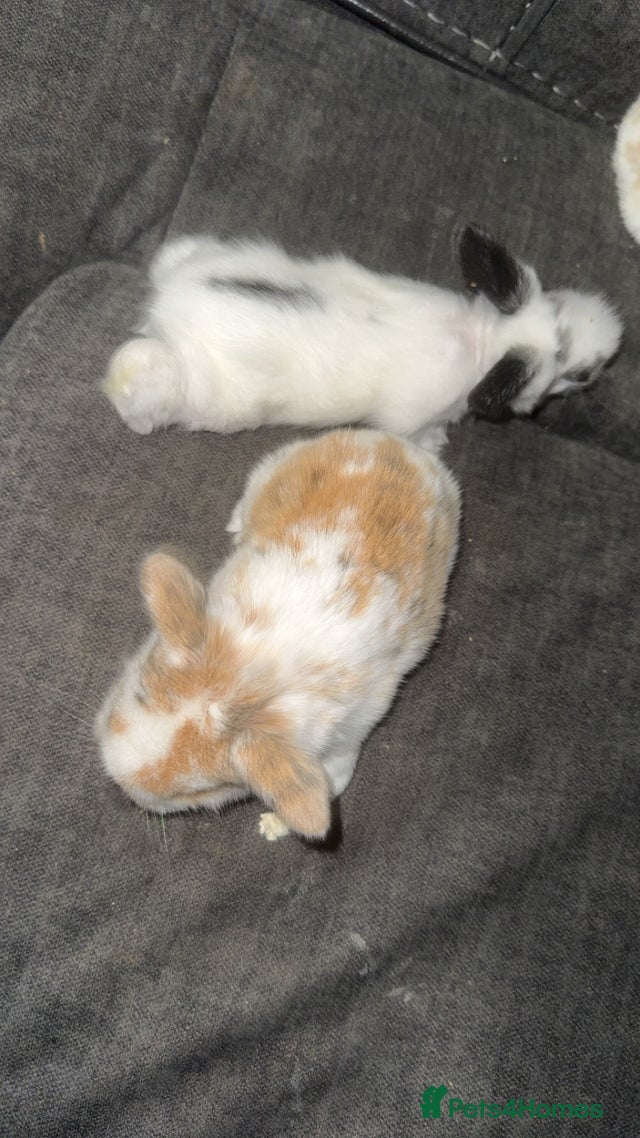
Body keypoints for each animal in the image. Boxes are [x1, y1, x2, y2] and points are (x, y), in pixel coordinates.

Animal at [95, 429, 461, 841]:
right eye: (138, 694)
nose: (118, 779)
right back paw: (235, 525)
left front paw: (271, 826)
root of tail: (400, 447)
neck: (250, 679)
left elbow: (334, 784)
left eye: (198, 790)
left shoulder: (343, 744)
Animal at [103, 223, 622, 447]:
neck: (483, 341)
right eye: (572, 373)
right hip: (187, 384)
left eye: (558, 309)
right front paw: (436, 445)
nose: (614, 341)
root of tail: (169, 299)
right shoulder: (408, 421)